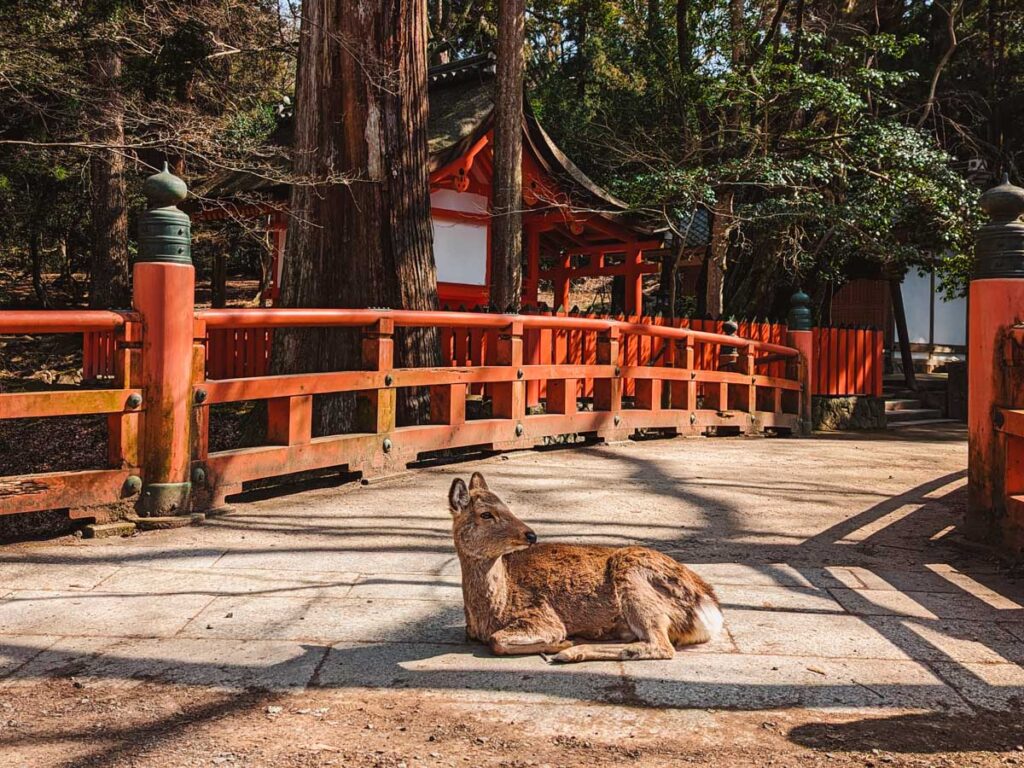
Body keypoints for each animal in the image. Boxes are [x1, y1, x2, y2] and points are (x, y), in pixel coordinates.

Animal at [448, 472, 723, 663]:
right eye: (486, 514)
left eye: (507, 506)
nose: (530, 534)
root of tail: (710, 608)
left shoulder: (542, 616)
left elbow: (497, 641)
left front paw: (561, 643)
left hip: (635, 580)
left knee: (661, 644)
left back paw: (571, 651)